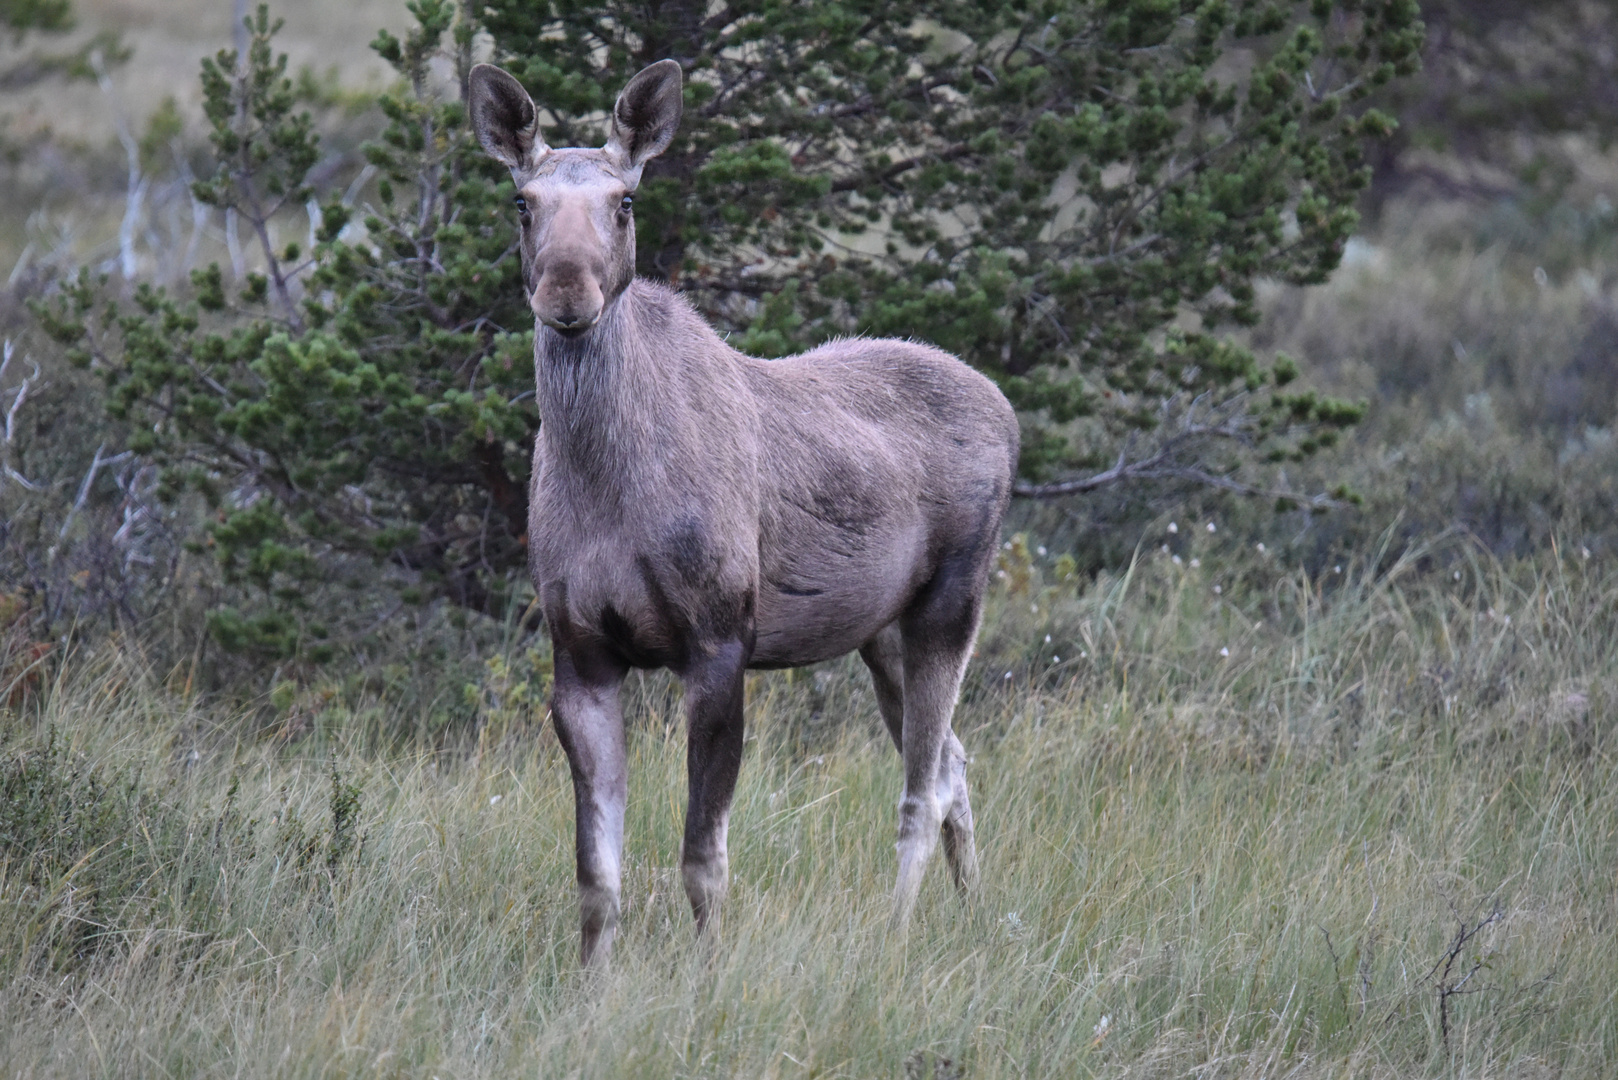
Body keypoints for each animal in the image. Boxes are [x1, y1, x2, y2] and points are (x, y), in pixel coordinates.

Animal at [469, 58, 1019, 967]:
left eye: (625, 200)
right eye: (523, 201)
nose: (567, 290)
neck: (603, 478)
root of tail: (1009, 413)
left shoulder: (720, 640)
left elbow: (703, 857)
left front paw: (706, 970)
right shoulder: (580, 657)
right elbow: (596, 873)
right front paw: (591, 984)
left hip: (952, 602)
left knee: (920, 788)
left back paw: (896, 932)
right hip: (880, 633)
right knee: (954, 765)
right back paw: (973, 912)